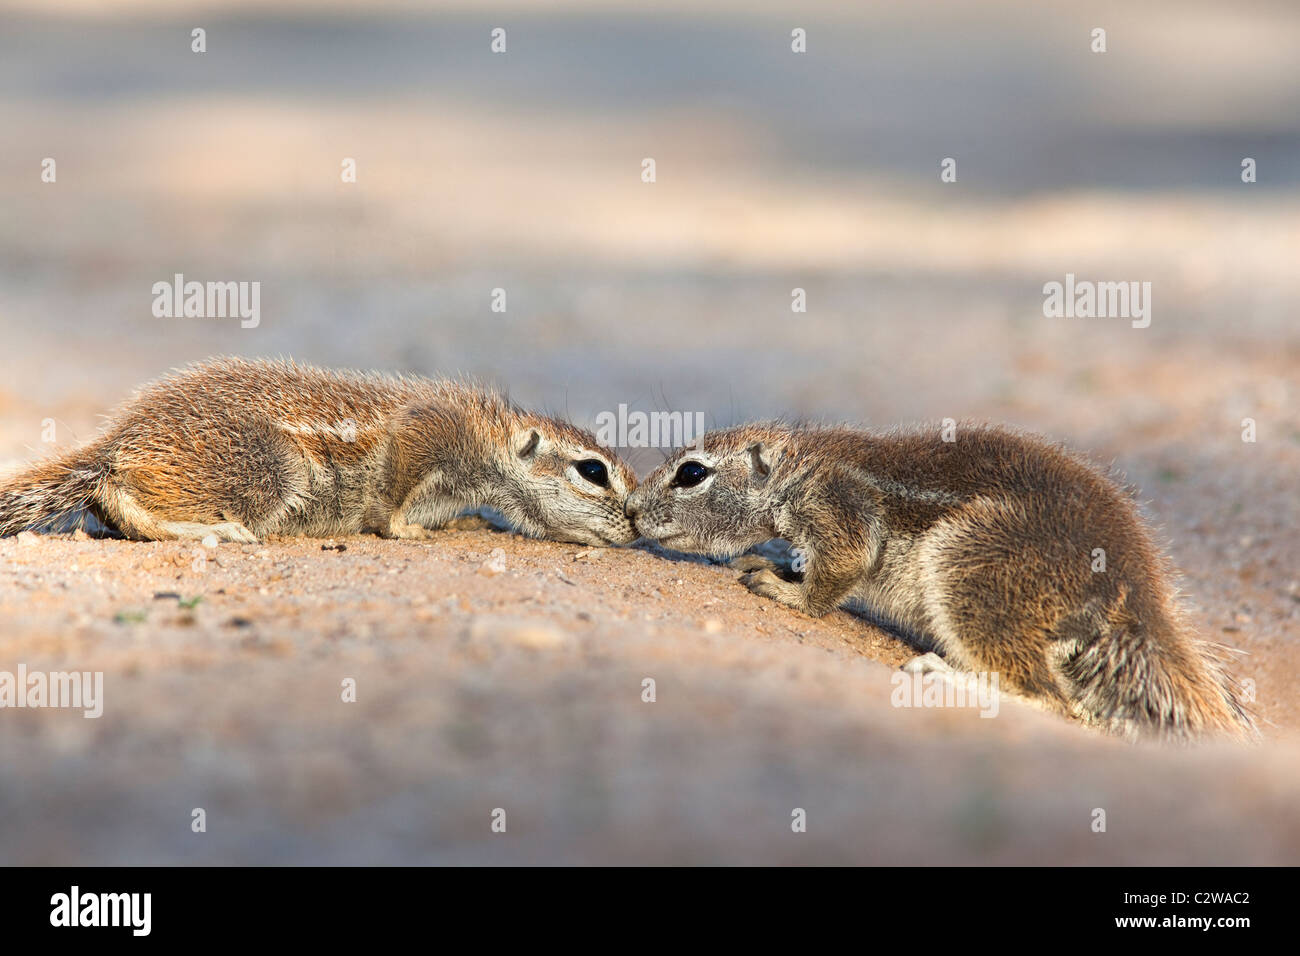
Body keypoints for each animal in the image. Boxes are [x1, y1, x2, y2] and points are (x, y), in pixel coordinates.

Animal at [0, 357, 638, 547]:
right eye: (593, 471)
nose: (636, 525)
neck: (492, 447)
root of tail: (118, 439)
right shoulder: (432, 428)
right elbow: (396, 486)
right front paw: (402, 527)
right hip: (270, 468)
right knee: (119, 496)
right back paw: (220, 531)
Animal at [625, 421, 1256, 742]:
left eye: (691, 473)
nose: (630, 509)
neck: (800, 466)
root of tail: (1133, 590)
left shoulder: (838, 503)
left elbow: (840, 570)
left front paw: (783, 587)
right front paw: (769, 557)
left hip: (974, 572)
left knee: (1044, 698)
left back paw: (946, 674)